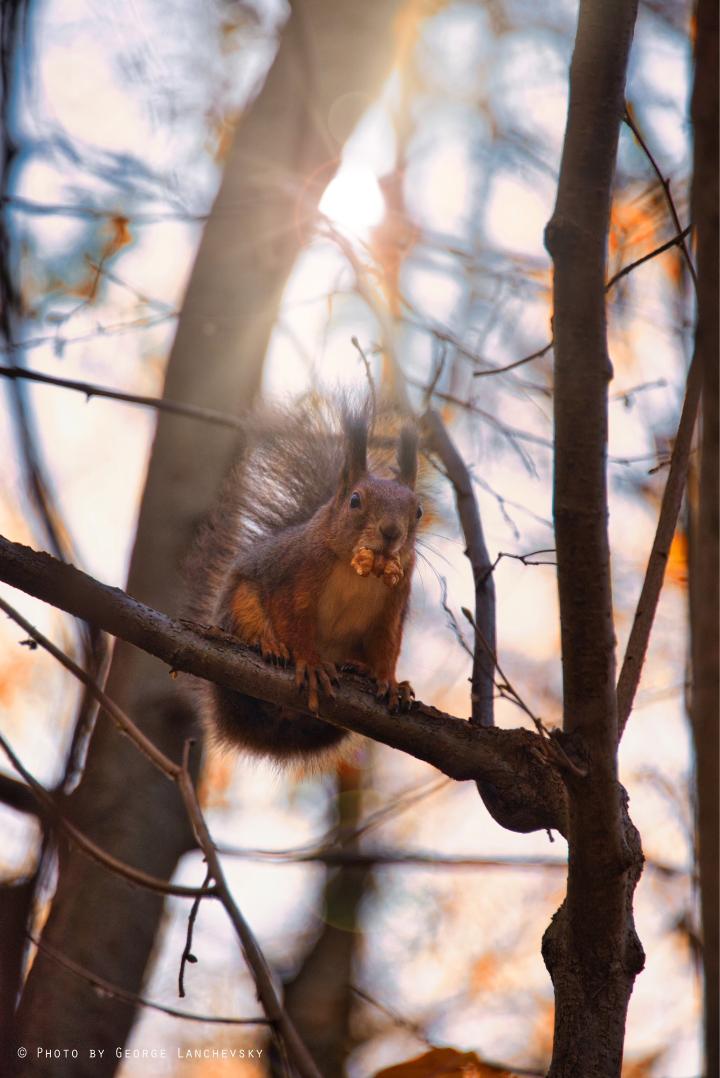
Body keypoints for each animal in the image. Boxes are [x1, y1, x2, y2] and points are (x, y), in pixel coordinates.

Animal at [187, 398, 422, 767]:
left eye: (419, 512)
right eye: (355, 500)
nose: (391, 532)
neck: (358, 571)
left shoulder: (395, 601)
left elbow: (387, 643)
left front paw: (390, 681)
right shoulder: (296, 575)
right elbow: (293, 618)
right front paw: (309, 662)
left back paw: (356, 667)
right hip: (239, 601)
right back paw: (266, 643)